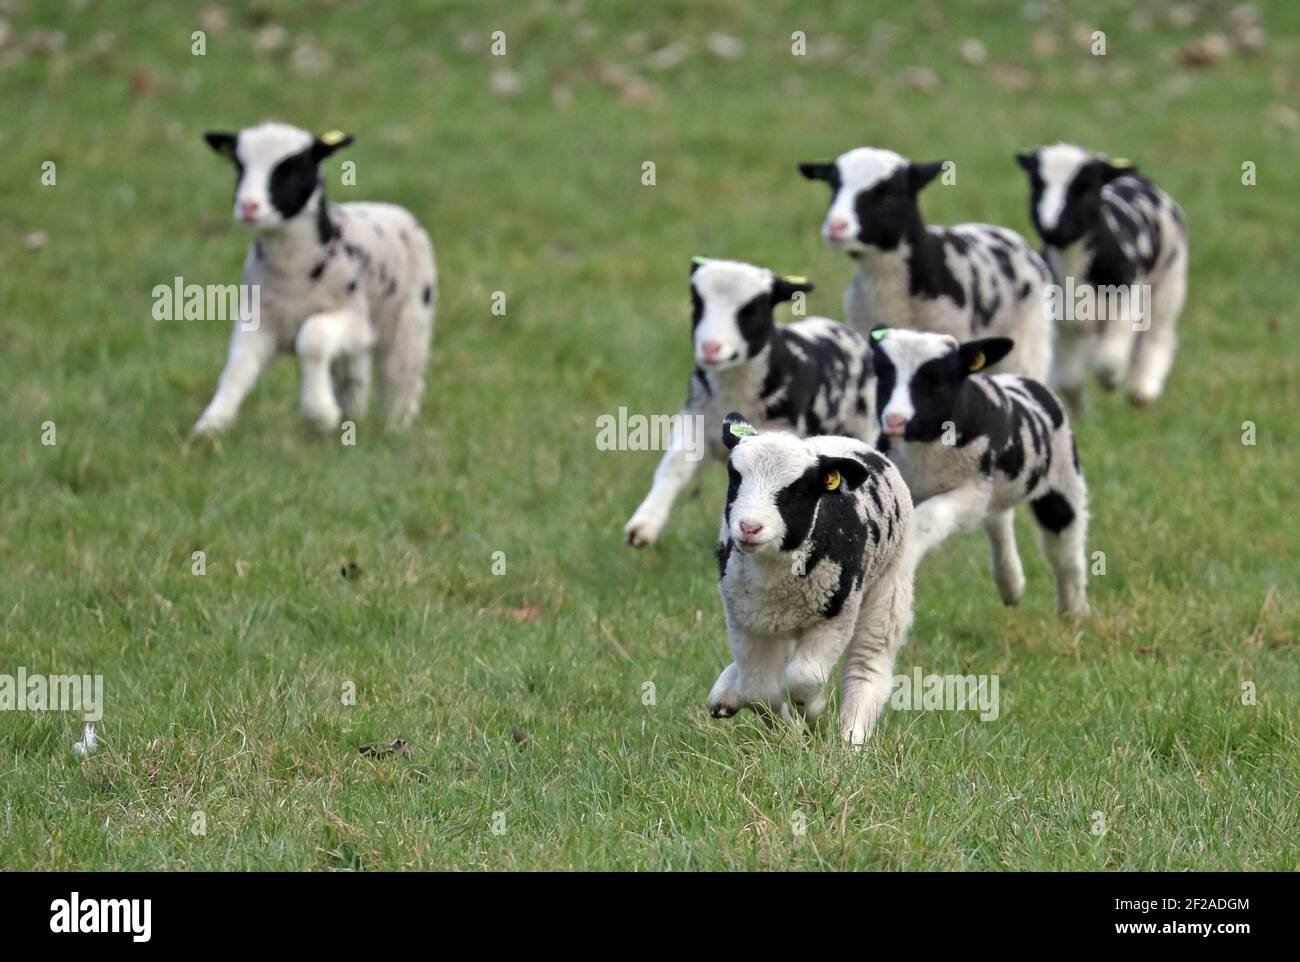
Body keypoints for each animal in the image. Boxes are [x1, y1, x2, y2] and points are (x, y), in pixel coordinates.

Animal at [192, 122, 437, 437]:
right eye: (239, 166)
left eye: (292, 168)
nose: (248, 206)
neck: (292, 271)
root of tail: (393, 209)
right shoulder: (259, 319)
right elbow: (239, 367)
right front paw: (212, 424)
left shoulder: (350, 315)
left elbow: (313, 339)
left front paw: (319, 414)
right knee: (353, 374)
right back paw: (354, 417)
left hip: (411, 319)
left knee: (402, 376)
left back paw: (397, 426)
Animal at [623, 257, 878, 548]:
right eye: (697, 303)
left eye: (752, 310)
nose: (710, 349)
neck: (735, 390)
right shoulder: (694, 419)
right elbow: (674, 467)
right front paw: (644, 524)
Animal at [707, 412, 915, 746]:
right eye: (735, 478)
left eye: (797, 489)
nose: (749, 527)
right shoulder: (743, 619)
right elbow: (759, 689)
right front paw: (788, 733)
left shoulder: (836, 616)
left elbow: (804, 676)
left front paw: (813, 709)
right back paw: (726, 693)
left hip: (891, 582)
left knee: (867, 664)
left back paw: (852, 739)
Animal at [868, 327, 1089, 619]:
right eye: (883, 377)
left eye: (937, 384)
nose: (894, 421)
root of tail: (1021, 380)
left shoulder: (973, 490)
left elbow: (931, 516)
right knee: (999, 521)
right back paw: (1012, 586)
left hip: (1061, 478)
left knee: (1065, 547)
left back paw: (1073, 613)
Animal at [1016, 144, 1188, 410]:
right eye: (1037, 185)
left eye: (1085, 188)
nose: (1052, 228)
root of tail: (1138, 178)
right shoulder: (1062, 321)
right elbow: (1068, 378)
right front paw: (1075, 407)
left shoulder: (1126, 298)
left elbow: (1109, 359)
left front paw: (1111, 382)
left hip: (1170, 280)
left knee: (1159, 333)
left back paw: (1143, 388)